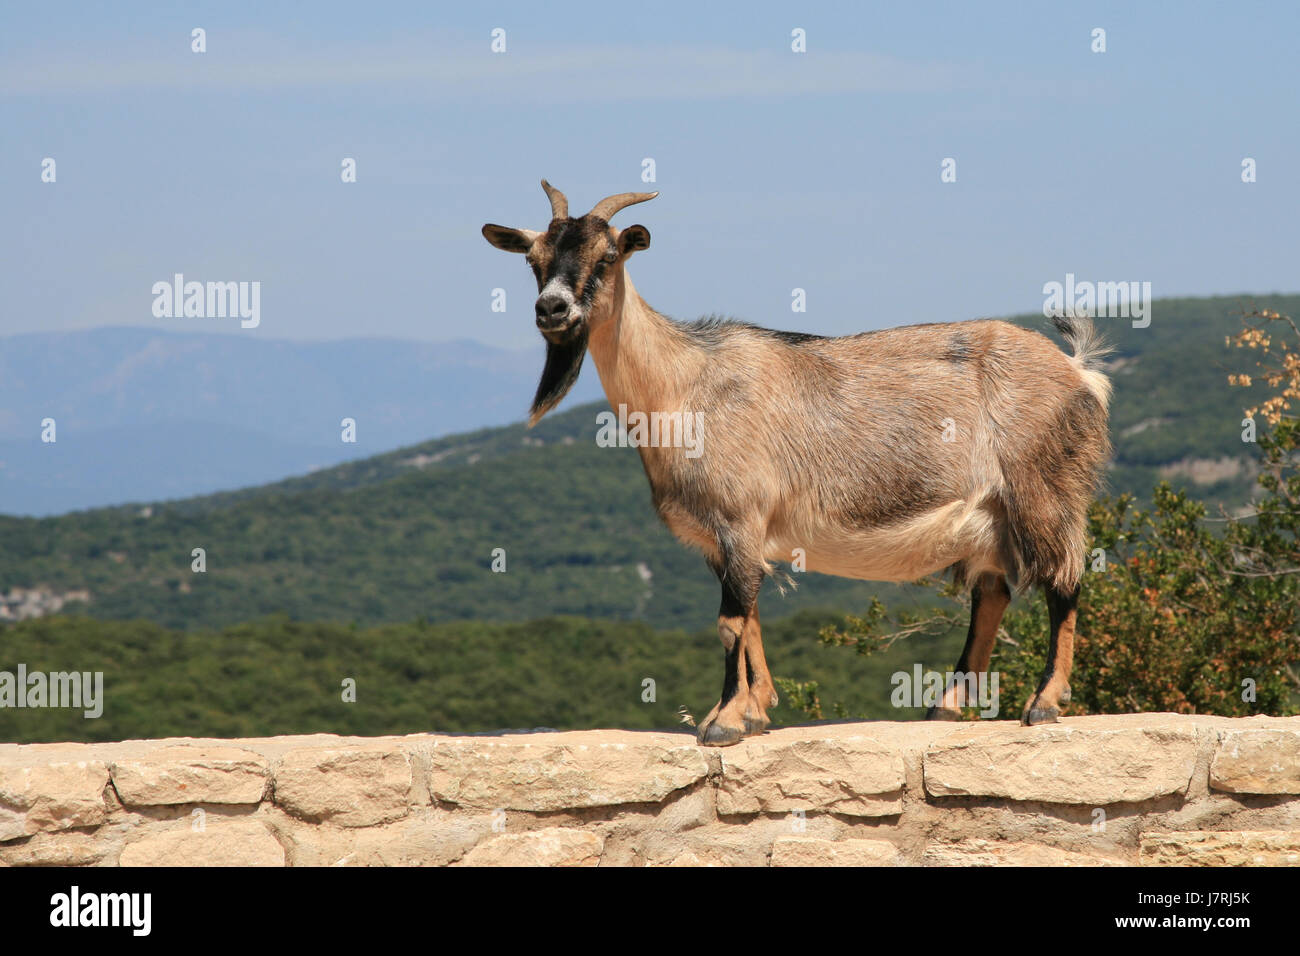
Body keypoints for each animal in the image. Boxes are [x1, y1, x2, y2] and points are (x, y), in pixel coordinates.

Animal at [482, 181, 1112, 746]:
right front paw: (753, 711)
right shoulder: (729, 538)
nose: (552, 309)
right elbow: (750, 617)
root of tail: (1078, 370)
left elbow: (730, 622)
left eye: (608, 255)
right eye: (534, 260)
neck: (682, 386)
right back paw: (945, 708)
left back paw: (1043, 704)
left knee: (1064, 582)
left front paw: (725, 723)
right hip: (990, 518)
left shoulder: (739, 518)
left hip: (1045, 487)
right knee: (992, 595)